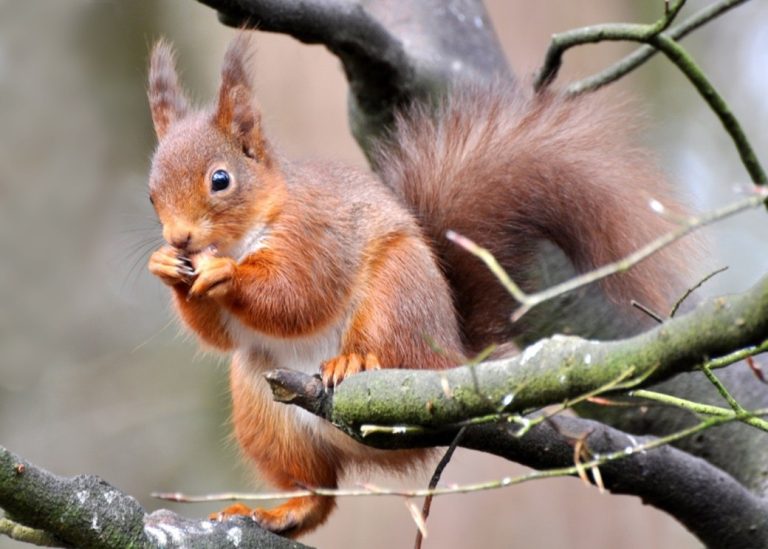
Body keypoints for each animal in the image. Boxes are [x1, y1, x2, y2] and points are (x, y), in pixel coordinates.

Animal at [146, 33, 687, 537]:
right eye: (152, 195)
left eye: (220, 180)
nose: (179, 238)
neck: (248, 230)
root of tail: (451, 354)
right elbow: (220, 335)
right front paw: (167, 267)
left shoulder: (315, 235)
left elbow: (297, 295)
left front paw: (225, 274)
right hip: (262, 405)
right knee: (317, 492)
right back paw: (284, 511)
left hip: (398, 295)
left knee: (390, 354)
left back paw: (355, 361)